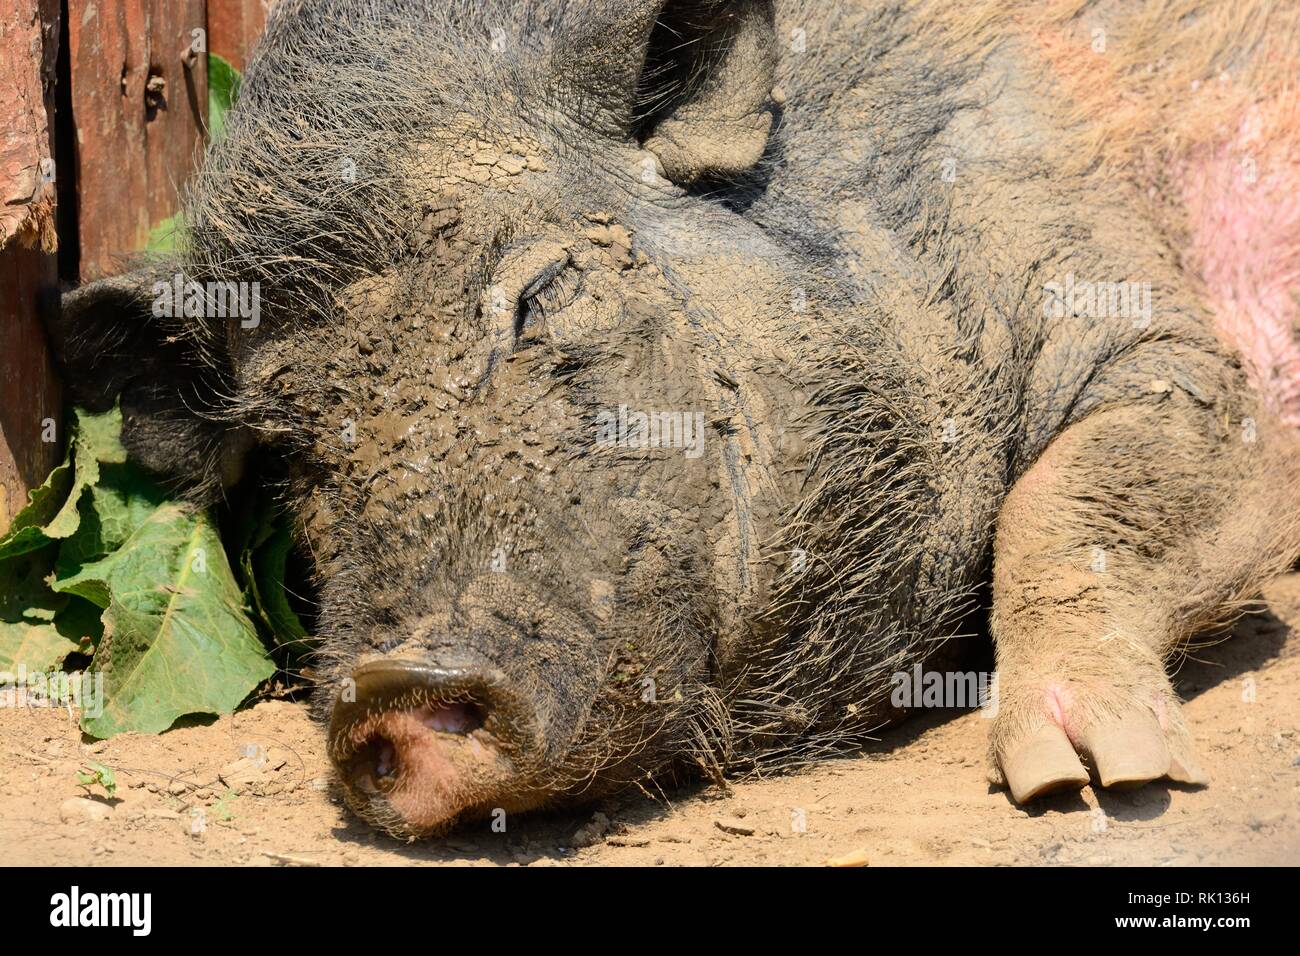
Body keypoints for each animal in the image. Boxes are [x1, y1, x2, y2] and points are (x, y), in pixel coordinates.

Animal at [52, 0, 1300, 838]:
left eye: (543, 289)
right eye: (291, 444)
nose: (388, 686)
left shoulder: (1144, 322)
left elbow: (1081, 489)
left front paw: (1093, 780)